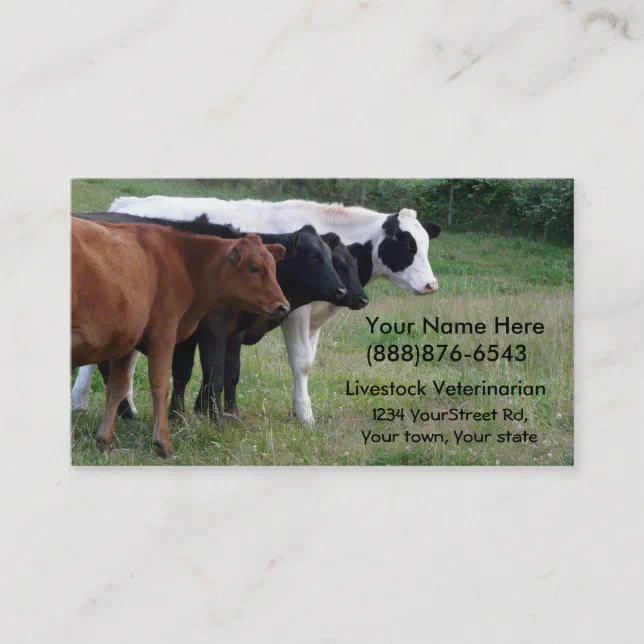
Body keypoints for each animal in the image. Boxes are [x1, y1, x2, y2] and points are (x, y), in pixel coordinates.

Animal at [71, 213, 368, 419]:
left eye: (336, 260)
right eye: (315, 257)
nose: (347, 292)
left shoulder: (232, 333)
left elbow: (229, 372)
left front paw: (224, 412)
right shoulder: (207, 331)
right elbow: (201, 373)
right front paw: (204, 416)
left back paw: (125, 413)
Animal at [71, 217, 288, 456]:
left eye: (274, 267)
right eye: (254, 267)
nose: (283, 306)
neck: (183, 262)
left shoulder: (127, 340)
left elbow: (117, 387)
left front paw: (104, 440)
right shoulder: (163, 335)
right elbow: (161, 385)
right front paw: (163, 442)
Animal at [108, 196, 441, 424]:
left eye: (426, 245)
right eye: (407, 245)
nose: (431, 284)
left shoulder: (314, 317)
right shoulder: (293, 312)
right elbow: (301, 362)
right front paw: (305, 416)